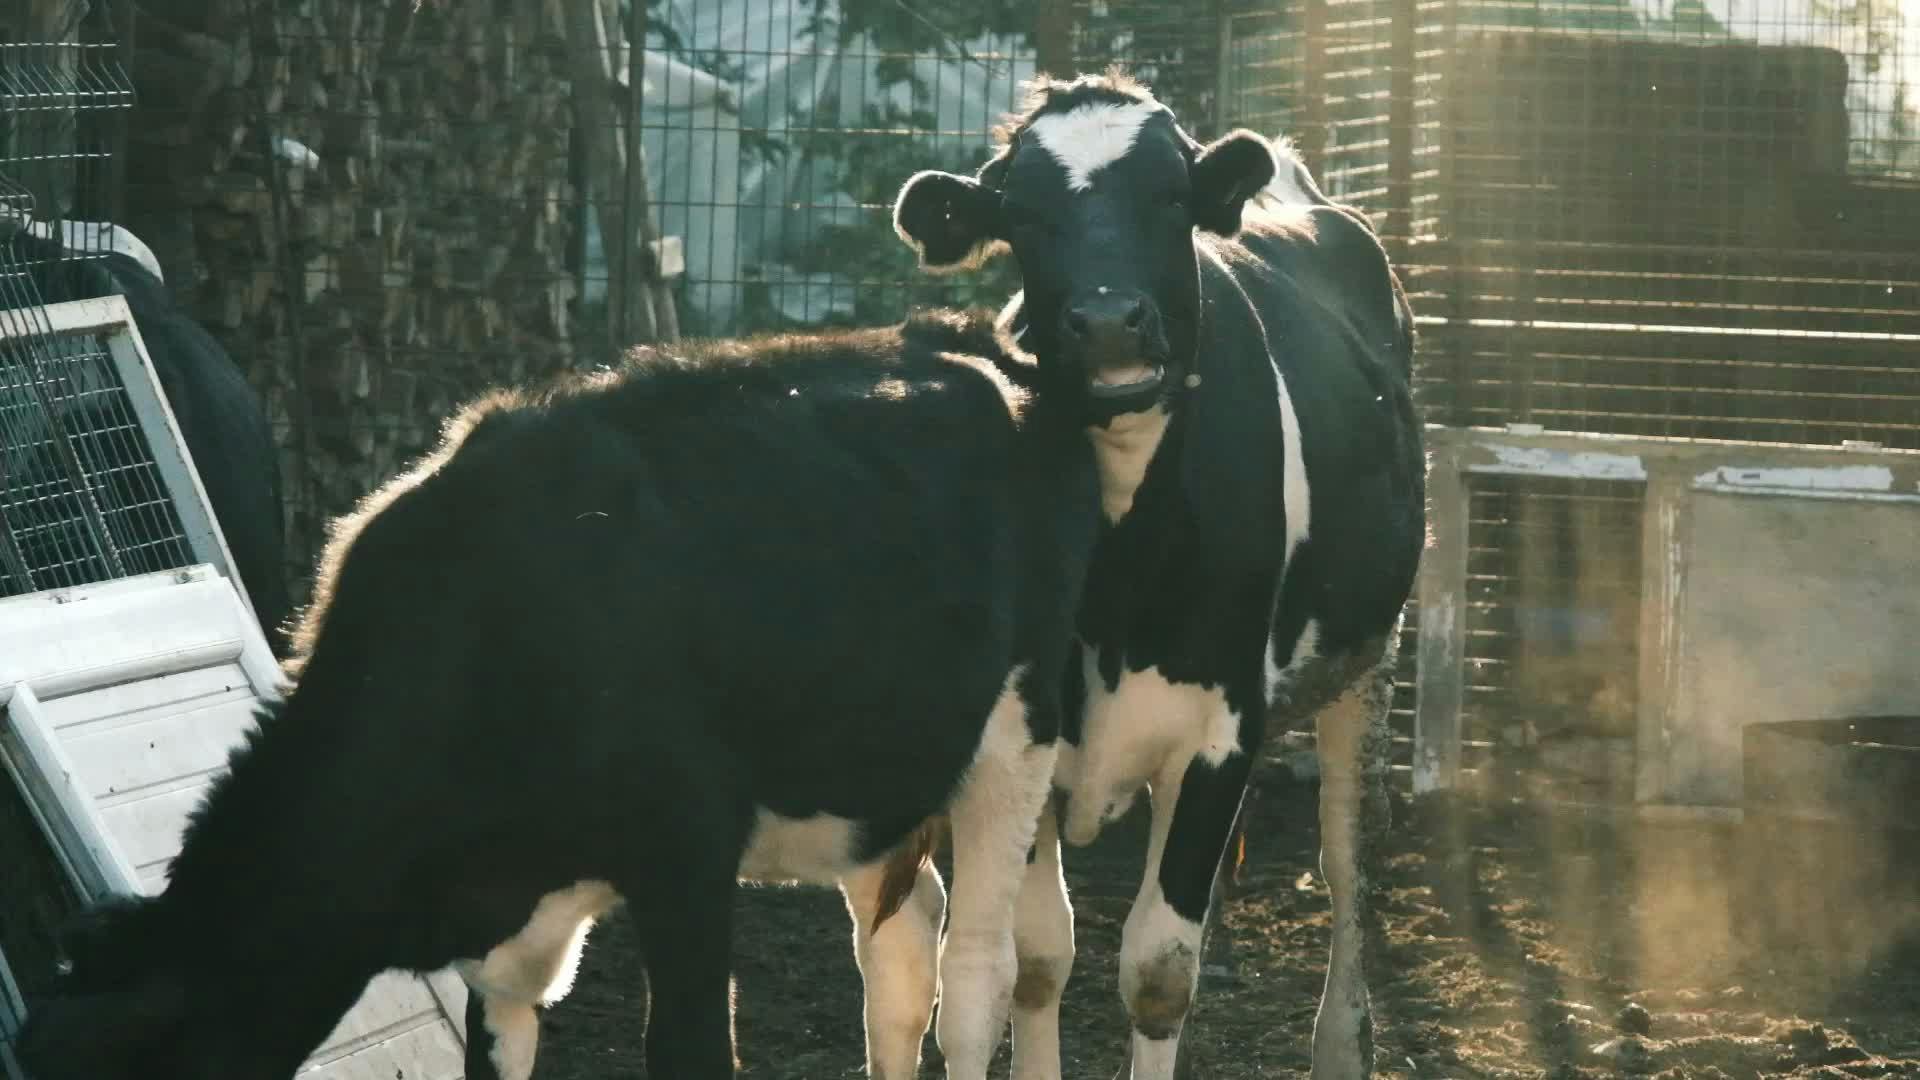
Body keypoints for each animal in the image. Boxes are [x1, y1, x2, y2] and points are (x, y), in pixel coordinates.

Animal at [13, 308, 1105, 1080]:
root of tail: (959, 336)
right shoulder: (500, 948)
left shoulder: (686, 850)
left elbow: (693, 1054)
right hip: (872, 769)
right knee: (899, 958)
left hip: (1016, 739)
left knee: (979, 973)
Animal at [887, 71, 1425, 1079]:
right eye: (1022, 215)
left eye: (1171, 197)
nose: (1108, 323)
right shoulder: (1031, 731)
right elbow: (1039, 960)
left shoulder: (1222, 731)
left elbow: (1159, 972)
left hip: (1366, 664)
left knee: (1347, 859)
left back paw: (1342, 1040)